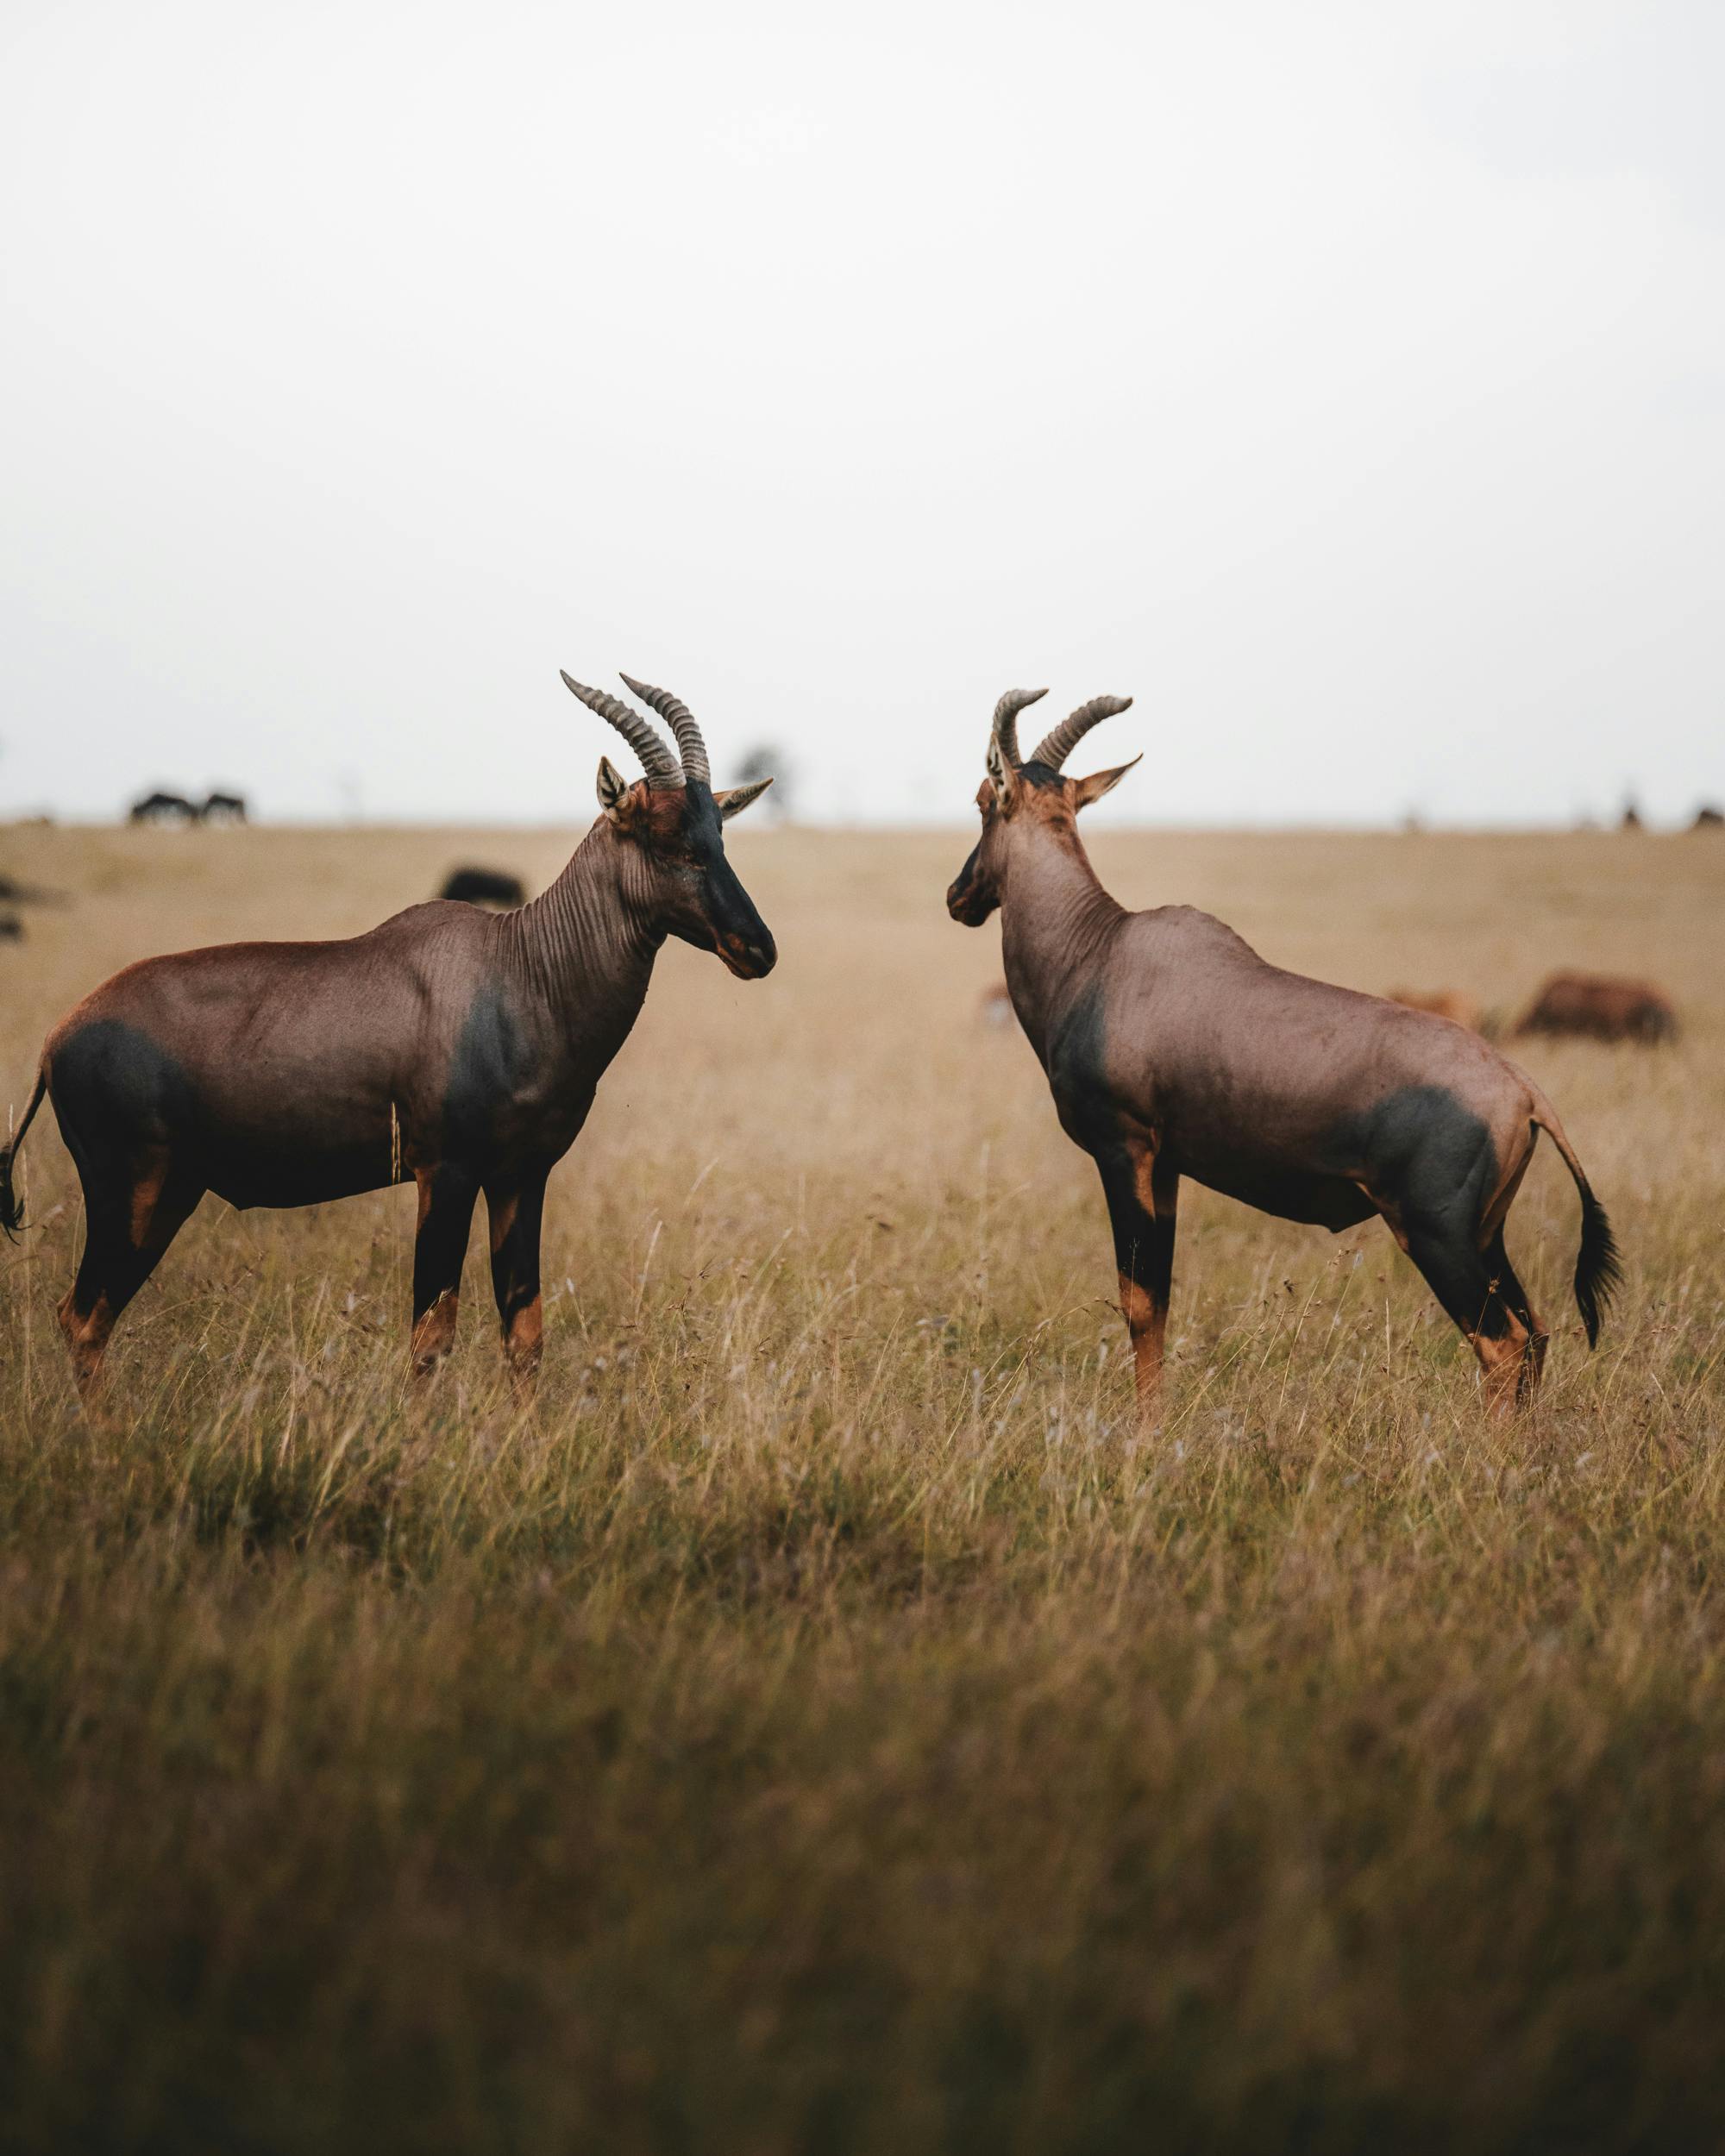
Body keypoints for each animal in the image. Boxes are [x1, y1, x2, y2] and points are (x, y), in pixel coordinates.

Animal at [1, 674, 776, 1405]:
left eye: (719, 834)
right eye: (666, 838)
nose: (757, 949)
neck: (519, 966)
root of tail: (56, 1039)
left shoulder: (522, 1175)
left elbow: (524, 1333)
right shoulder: (446, 1172)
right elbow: (431, 1336)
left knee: (85, 1316)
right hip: (137, 1192)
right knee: (84, 1316)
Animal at [946, 690, 1620, 1424]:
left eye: (983, 799)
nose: (959, 897)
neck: (1101, 951)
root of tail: (1522, 1089)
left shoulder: (1124, 1152)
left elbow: (1138, 1303)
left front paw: (1145, 1432)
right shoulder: (1168, 1168)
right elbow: (1160, 1304)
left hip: (1437, 1235)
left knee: (1503, 1343)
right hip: (1487, 1234)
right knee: (1537, 1335)